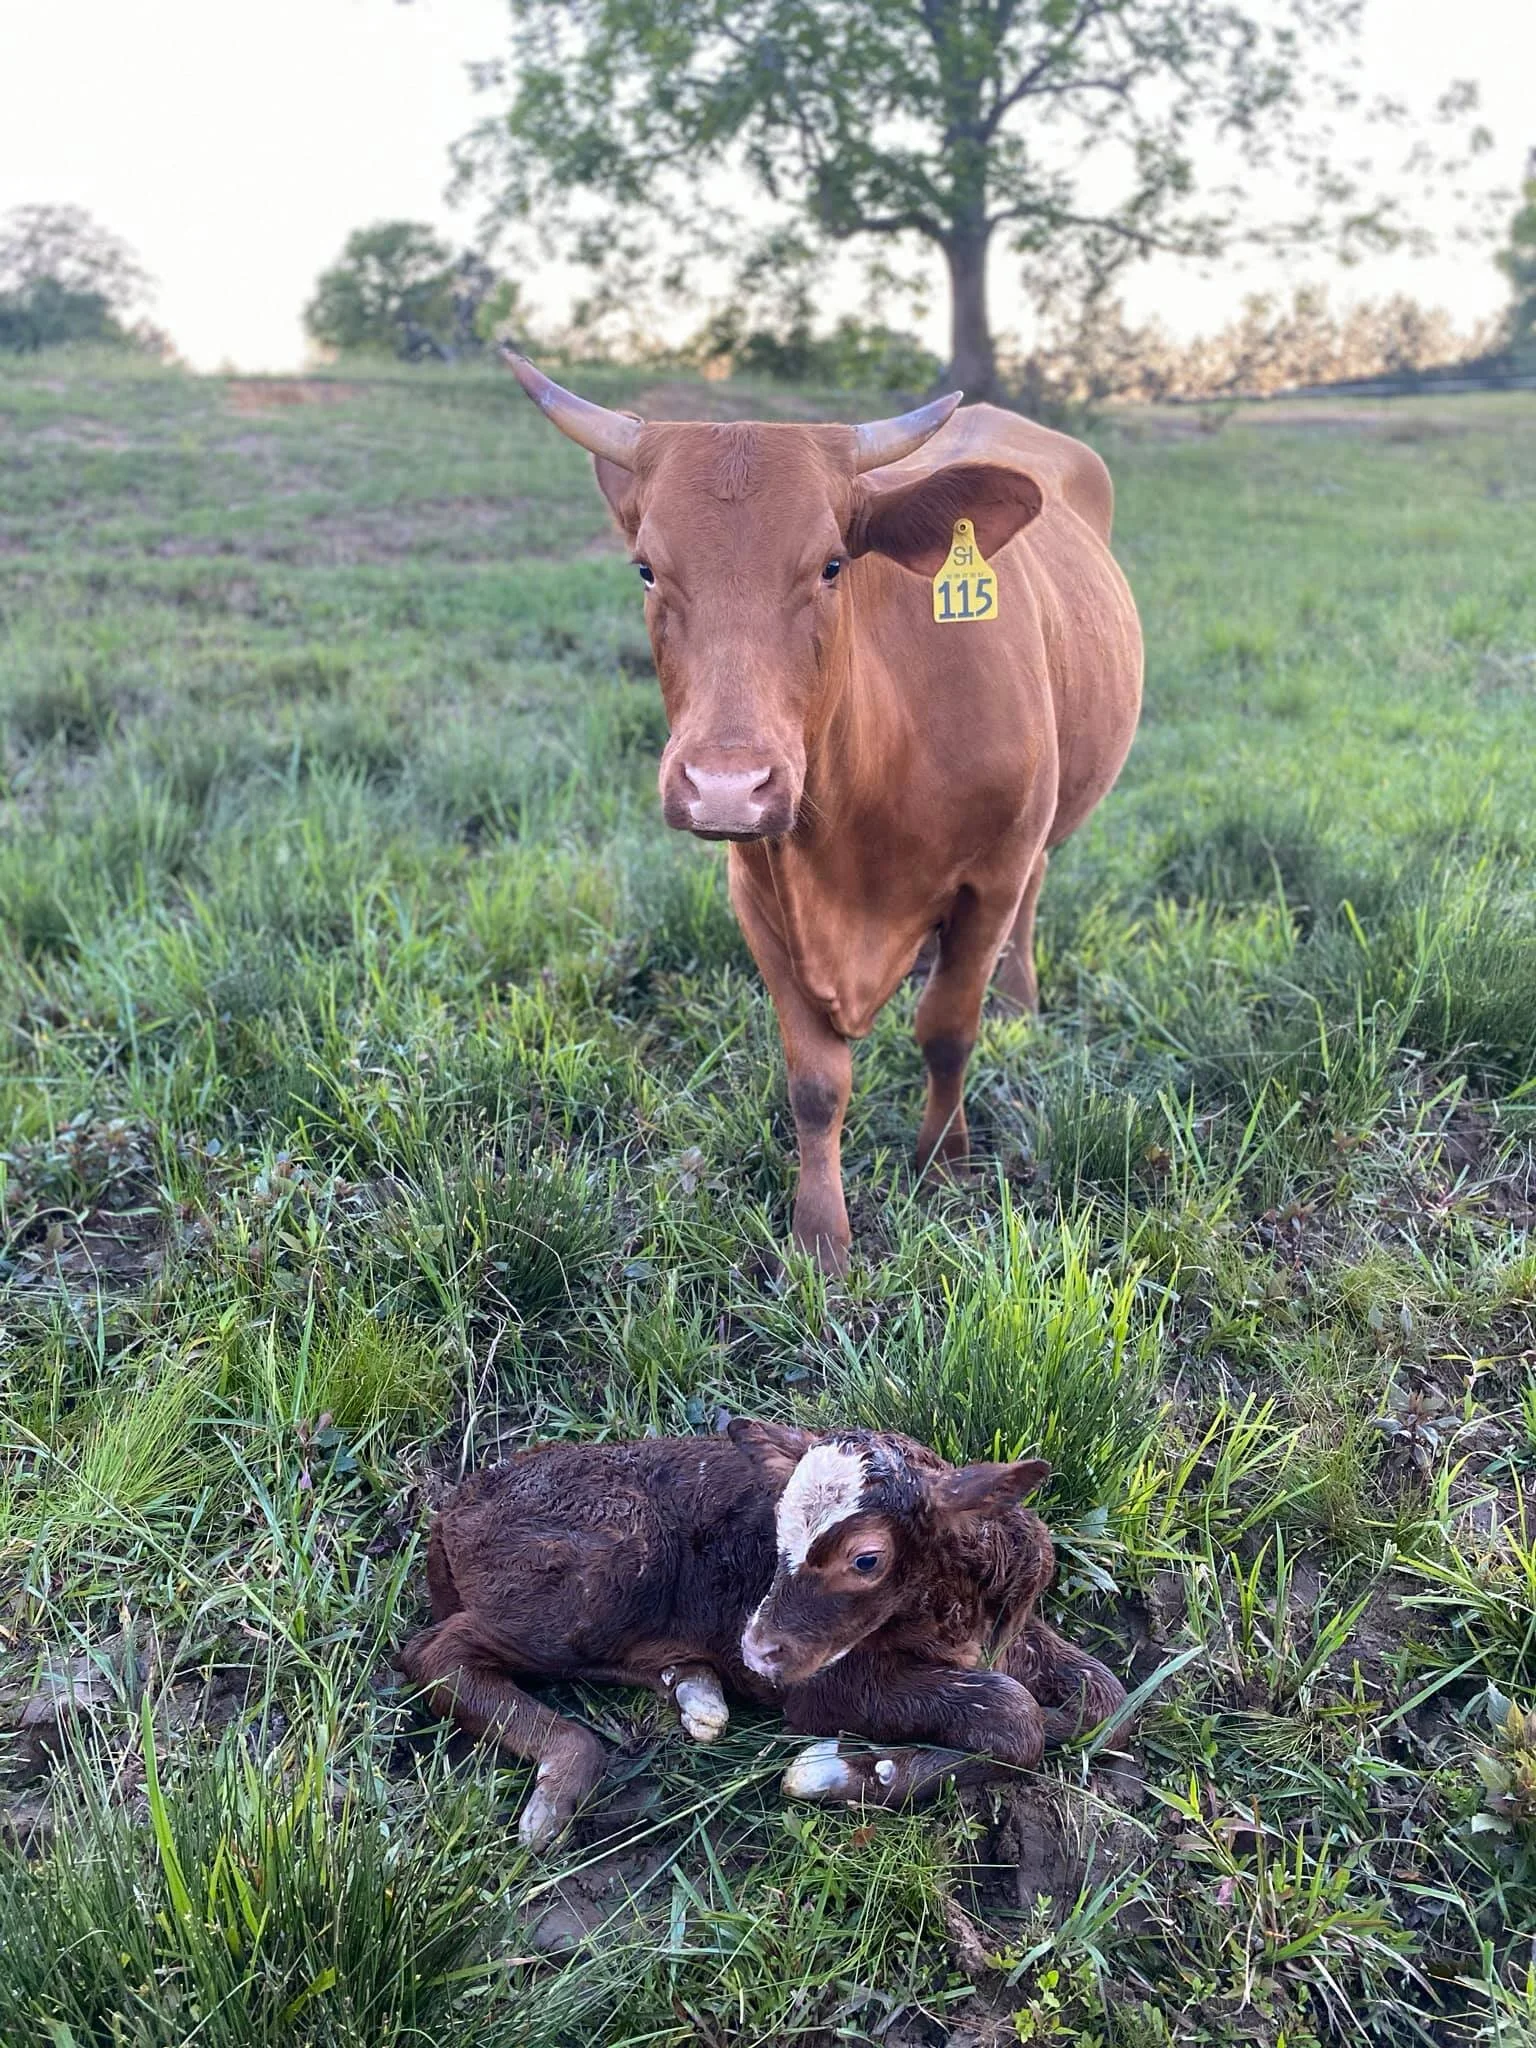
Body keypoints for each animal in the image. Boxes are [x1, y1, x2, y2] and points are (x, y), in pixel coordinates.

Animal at [398, 1420, 1124, 1850]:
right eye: (776, 1535)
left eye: (866, 1559)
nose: (755, 1650)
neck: (955, 1613)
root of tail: (453, 1508)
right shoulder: (823, 1687)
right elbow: (1013, 1712)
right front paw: (837, 1771)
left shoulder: (1008, 1632)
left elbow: (1105, 1700)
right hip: (602, 1575)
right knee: (434, 1652)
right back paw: (561, 1781)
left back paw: (693, 1684)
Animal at [505, 351, 1143, 1270]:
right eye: (647, 568)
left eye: (833, 565)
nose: (726, 784)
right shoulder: (758, 894)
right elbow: (815, 1081)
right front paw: (820, 1235)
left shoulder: (990, 875)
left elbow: (947, 1030)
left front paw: (941, 1164)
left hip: (1039, 833)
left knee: (1034, 891)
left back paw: (1018, 1003)